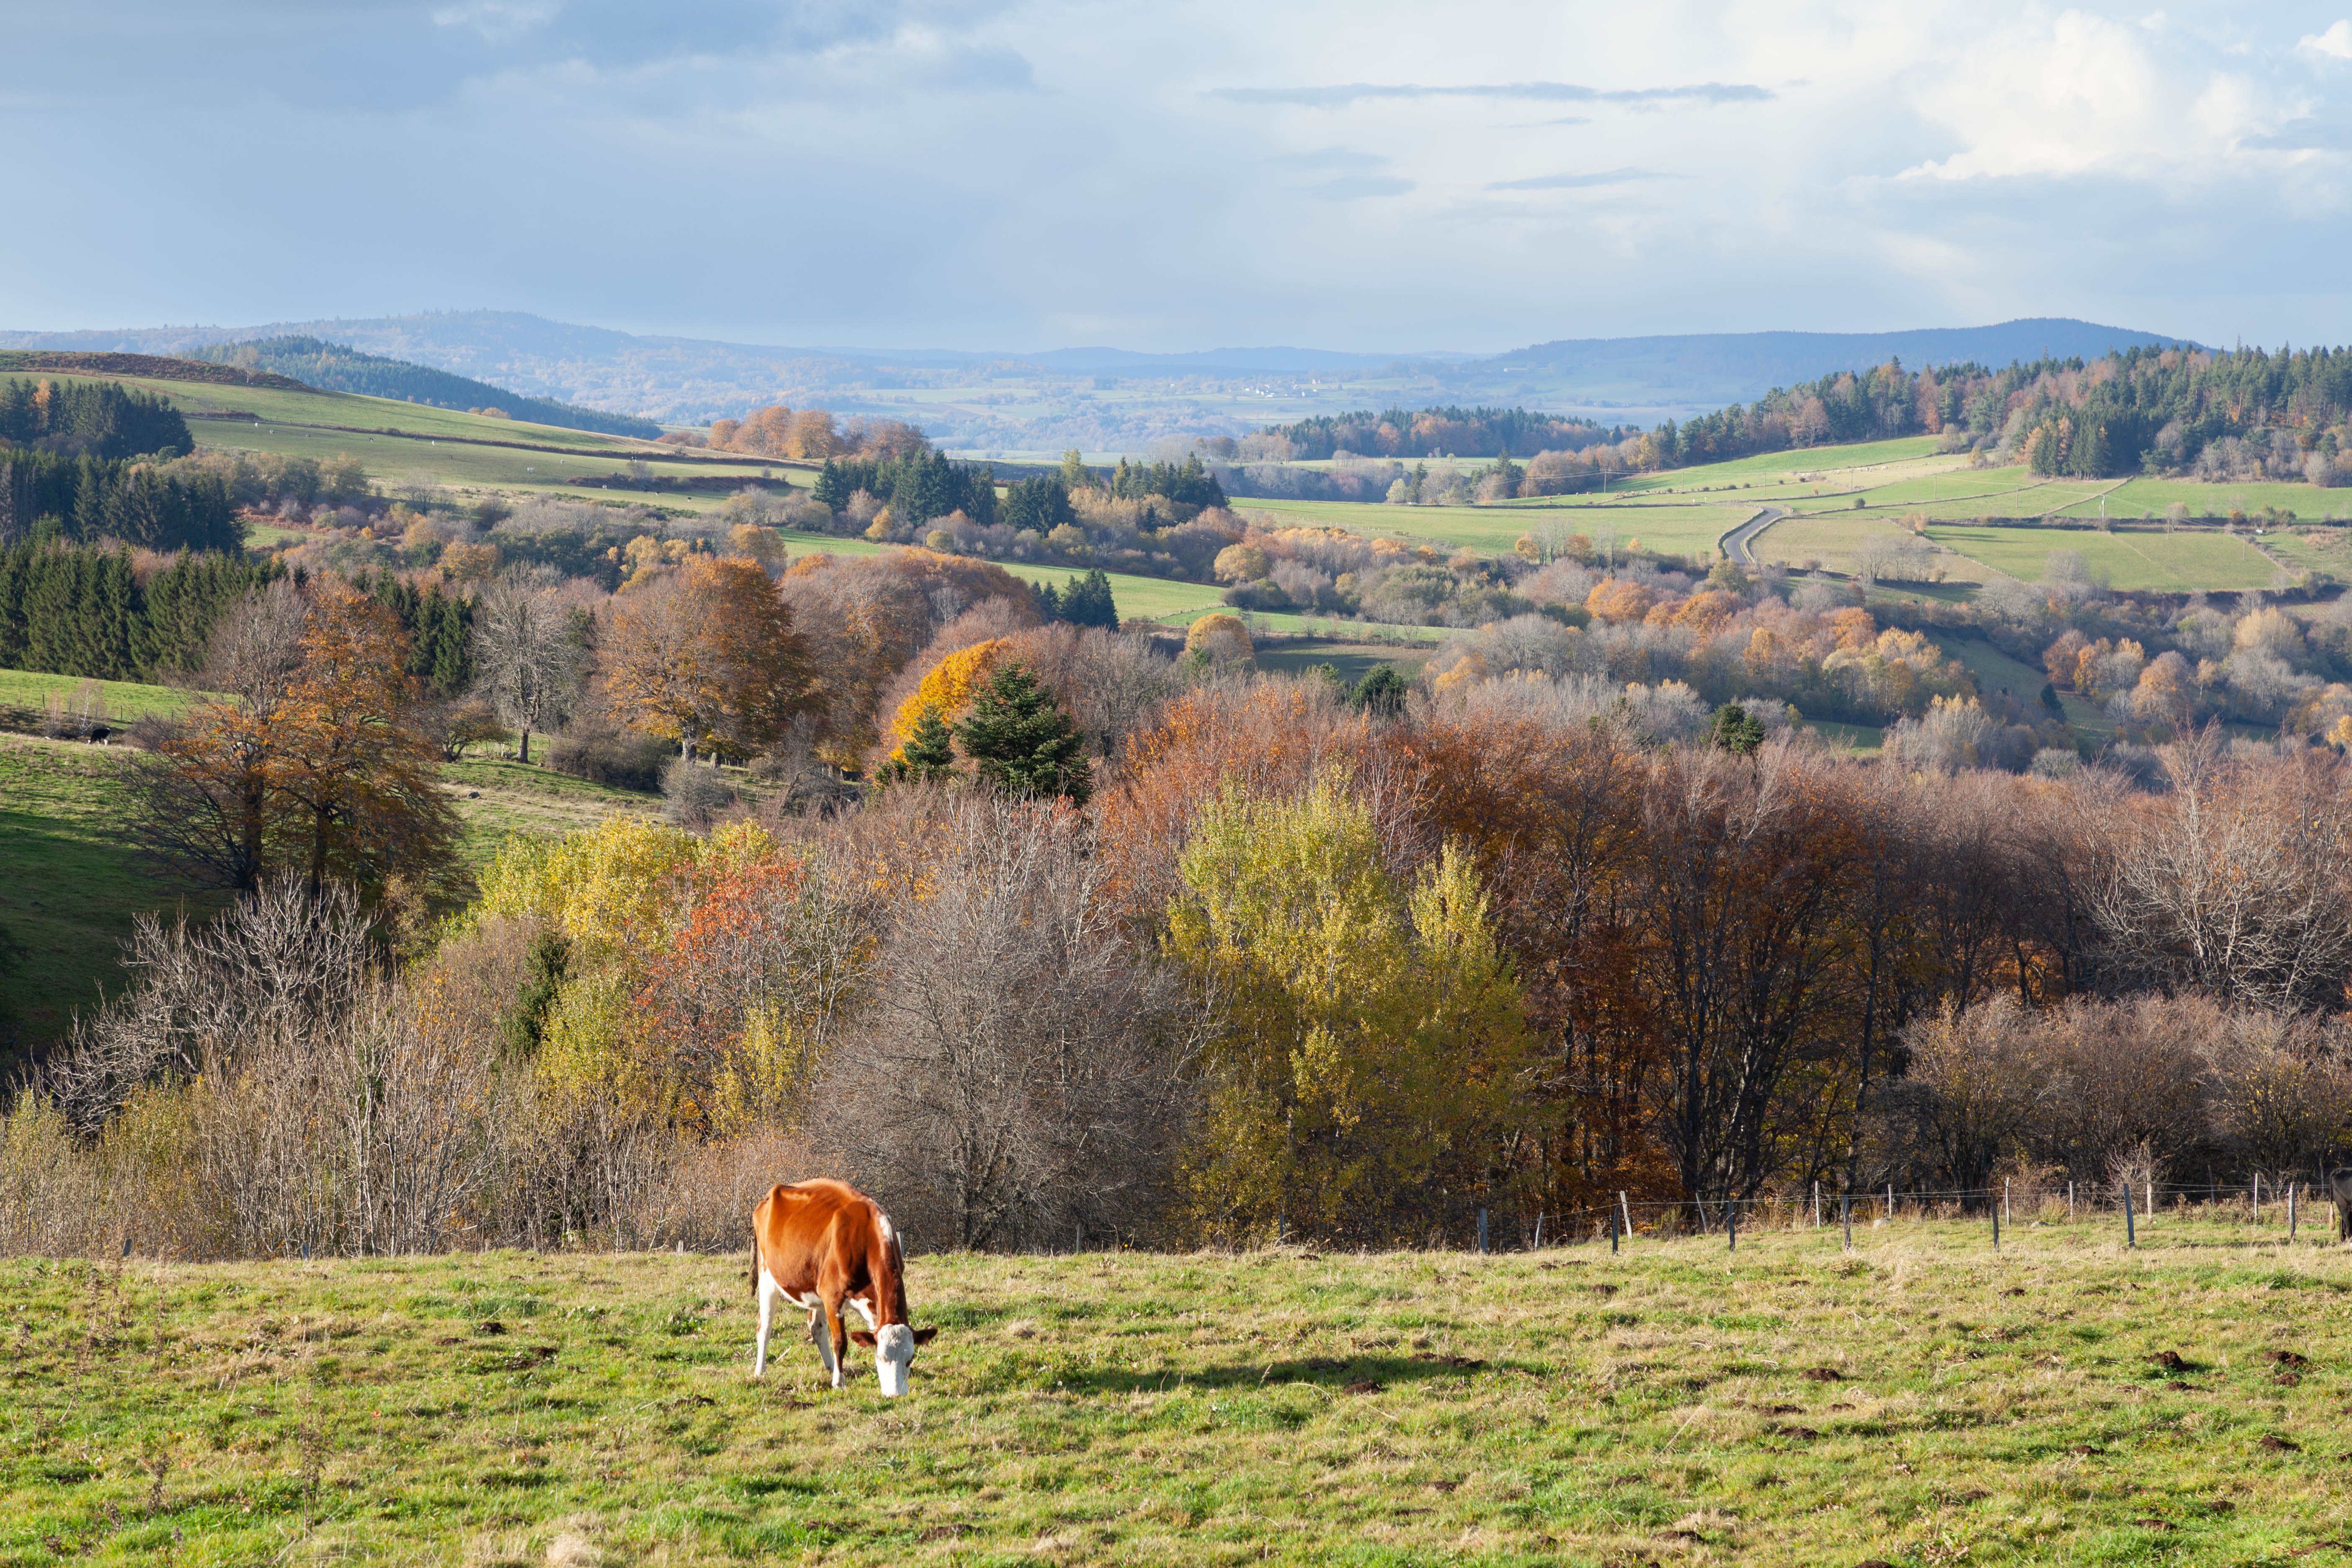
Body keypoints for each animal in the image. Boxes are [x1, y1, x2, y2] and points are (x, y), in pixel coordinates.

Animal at [750, 1178, 936, 1396]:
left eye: (910, 1359)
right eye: (882, 1357)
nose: (895, 1394)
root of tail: (772, 1193)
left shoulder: (871, 1303)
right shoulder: (833, 1297)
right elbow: (840, 1342)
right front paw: (839, 1382)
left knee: (816, 1327)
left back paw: (830, 1366)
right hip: (767, 1276)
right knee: (765, 1326)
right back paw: (760, 1370)